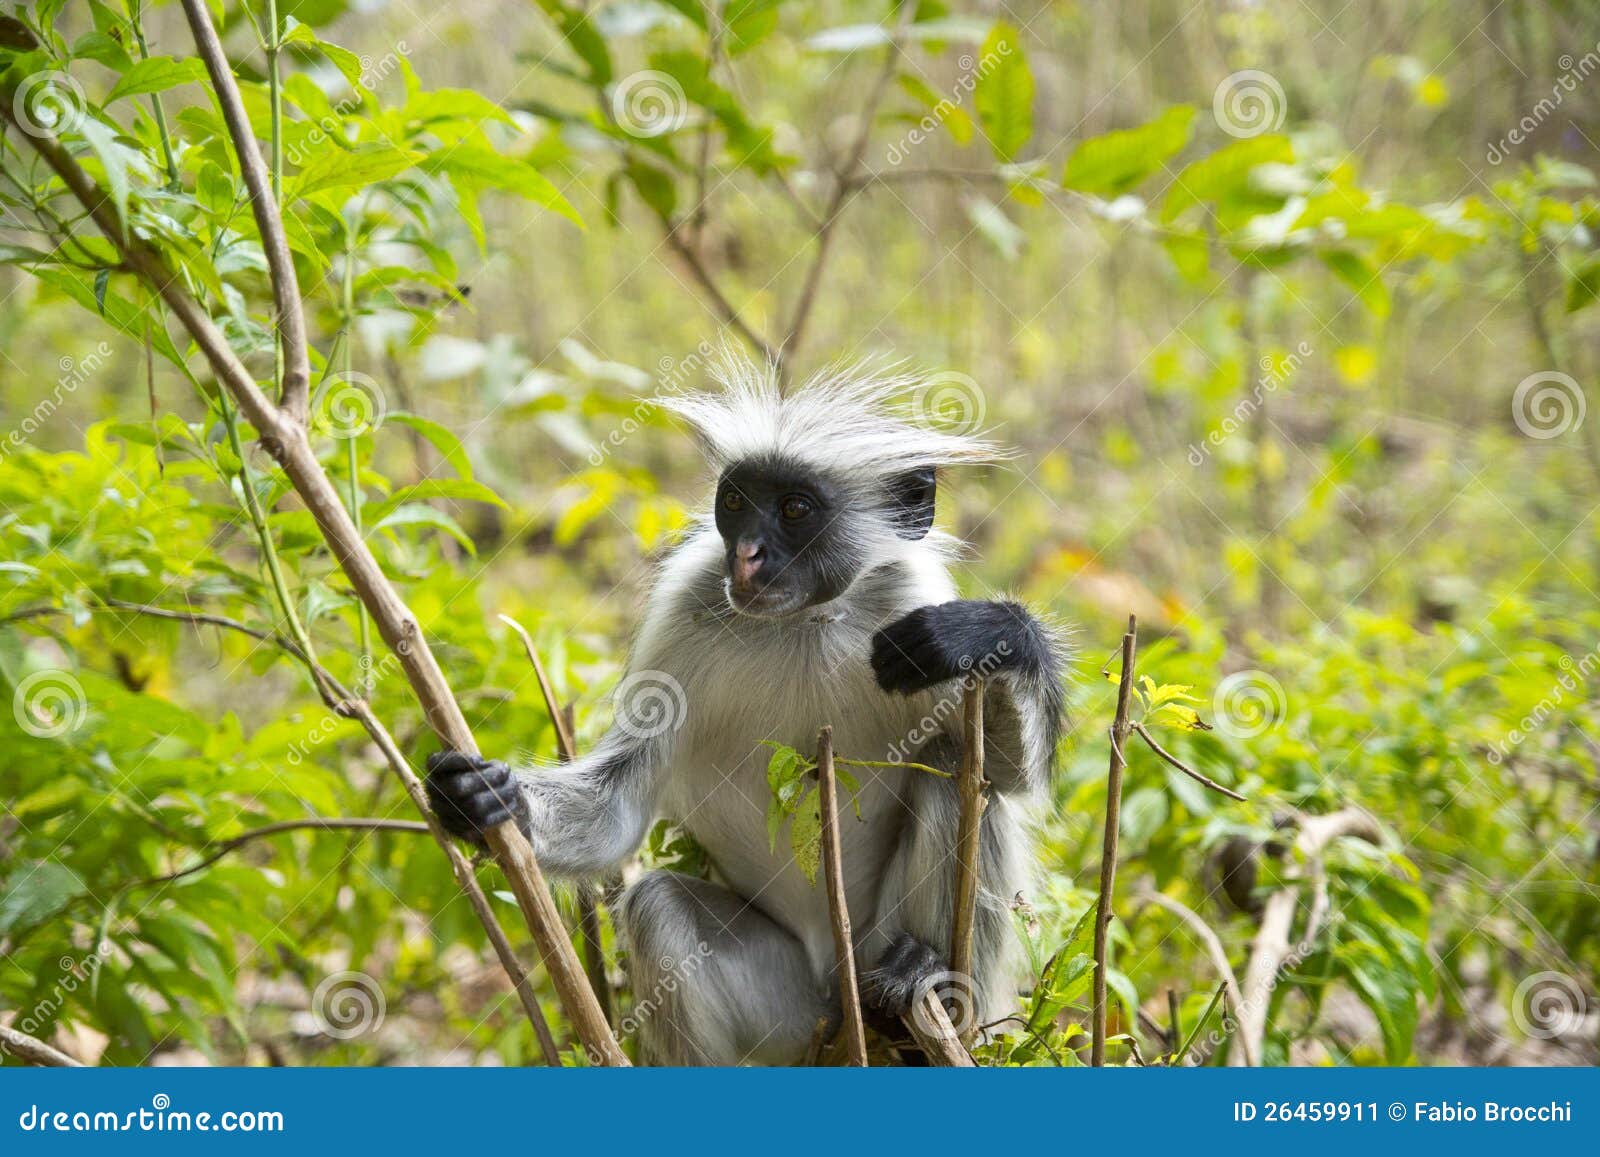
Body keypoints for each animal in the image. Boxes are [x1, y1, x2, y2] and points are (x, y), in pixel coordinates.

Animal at [426, 358, 1067, 1065]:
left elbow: (1008, 775)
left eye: (794, 508)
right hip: (788, 1018)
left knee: (954, 770)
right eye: (735, 502)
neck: (803, 622)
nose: (747, 554)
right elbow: (616, 811)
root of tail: (837, 1008)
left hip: (870, 953)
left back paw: (925, 981)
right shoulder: (687, 601)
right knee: (659, 906)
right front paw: (482, 798)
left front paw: (991, 633)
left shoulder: (907, 598)